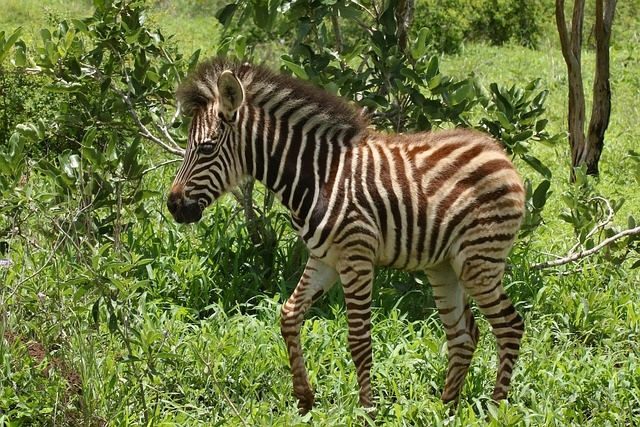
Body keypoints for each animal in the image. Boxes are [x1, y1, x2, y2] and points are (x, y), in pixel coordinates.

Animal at [167, 57, 526, 414]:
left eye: (206, 148)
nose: (172, 206)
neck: (318, 177)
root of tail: (499, 152)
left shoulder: (356, 255)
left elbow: (358, 338)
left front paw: (367, 410)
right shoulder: (324, 258)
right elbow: (289, 316)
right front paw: (304, 399)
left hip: (479, 259)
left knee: (509, 326)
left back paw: (497, 408)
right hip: (444, 266)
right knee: (463, 335)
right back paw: (446, 409)